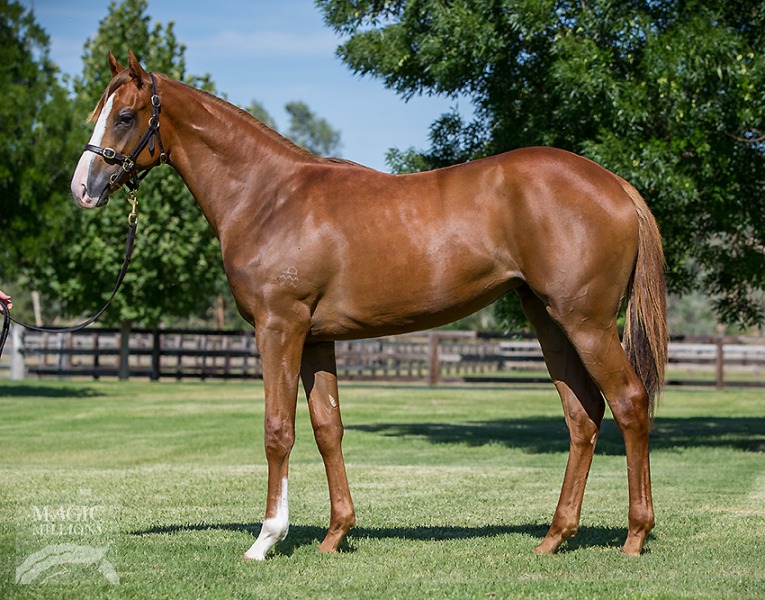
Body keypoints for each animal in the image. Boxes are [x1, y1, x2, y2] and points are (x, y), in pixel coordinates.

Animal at [71, 51, 668, 559]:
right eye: (97, 114)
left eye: (125, 115)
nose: (83, 188)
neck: (267, 197)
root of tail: (615, 184)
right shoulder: (316, 338)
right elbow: (326, 428)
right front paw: (335, 535)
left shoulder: (279, 327)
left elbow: (277, 429)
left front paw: (266, 540)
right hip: (548, 320)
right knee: (583, 415)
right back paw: (554, 537)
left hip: (586, 322)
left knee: (629, 401)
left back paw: (634, 537)